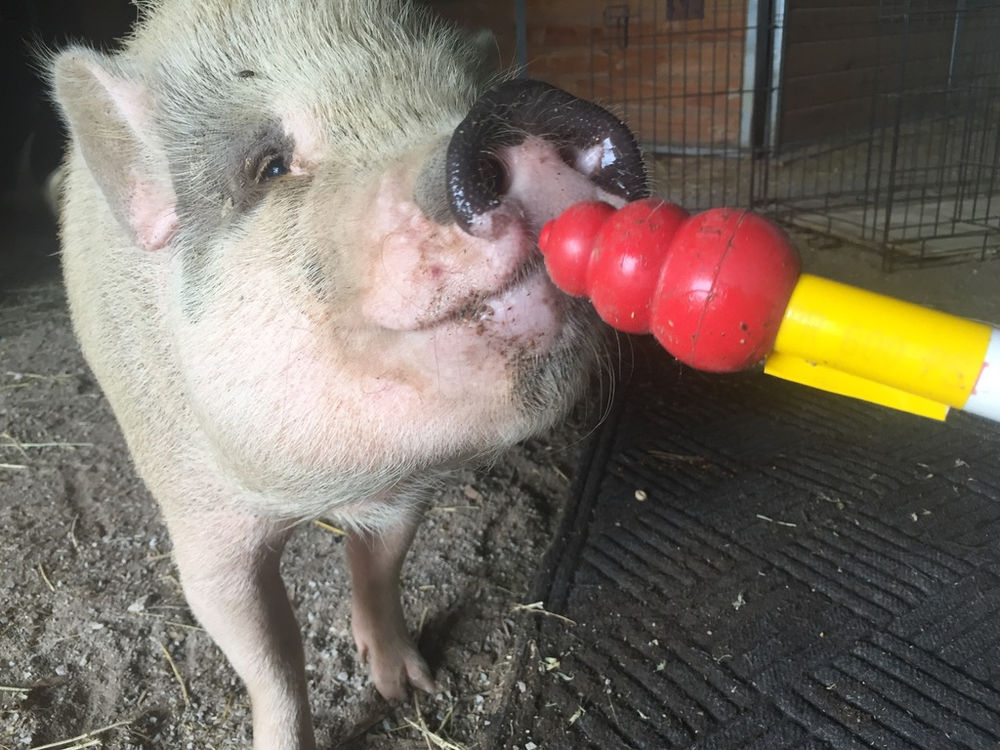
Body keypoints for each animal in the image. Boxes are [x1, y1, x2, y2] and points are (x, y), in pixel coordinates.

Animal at [49, 0, 646, 746]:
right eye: (270, 165)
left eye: (466, 96)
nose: (518, 109)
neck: (328, 494)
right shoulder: (200, 521)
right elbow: (269, 658)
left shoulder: (404, 495)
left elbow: (381, 570)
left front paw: (411, 689)